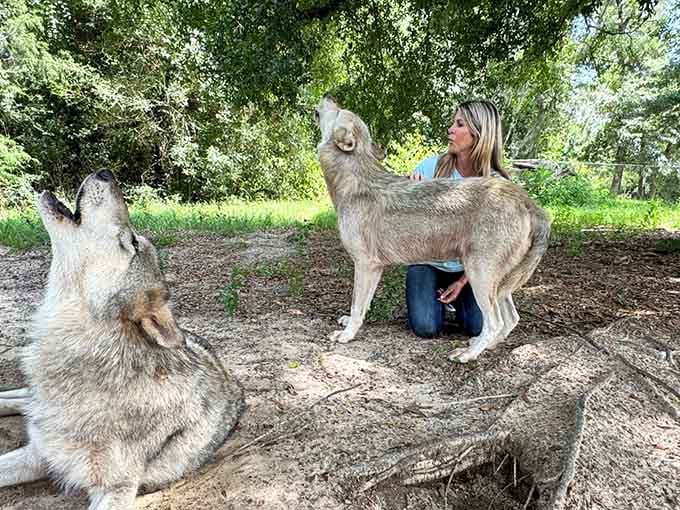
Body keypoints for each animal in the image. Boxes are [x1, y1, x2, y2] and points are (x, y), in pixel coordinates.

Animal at [0, 170, 244, 509]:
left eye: (132, 242)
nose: (106, 173)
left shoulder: (118, 488)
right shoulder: (39, 452)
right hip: (31, 401)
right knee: (16, 398)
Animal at [314, 96, 550, 362]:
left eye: (338, 110)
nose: (328, 95)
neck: (353, 178)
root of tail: (527, 201)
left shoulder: (366, 265)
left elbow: (356, 304)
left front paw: (346, 335)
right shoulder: (373, 269)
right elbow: (362, 305)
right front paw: (348, 325)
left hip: (480, 276)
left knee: (495, 322)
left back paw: (467, 354)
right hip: (498, 284)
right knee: (511, 319)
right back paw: (479, 346)